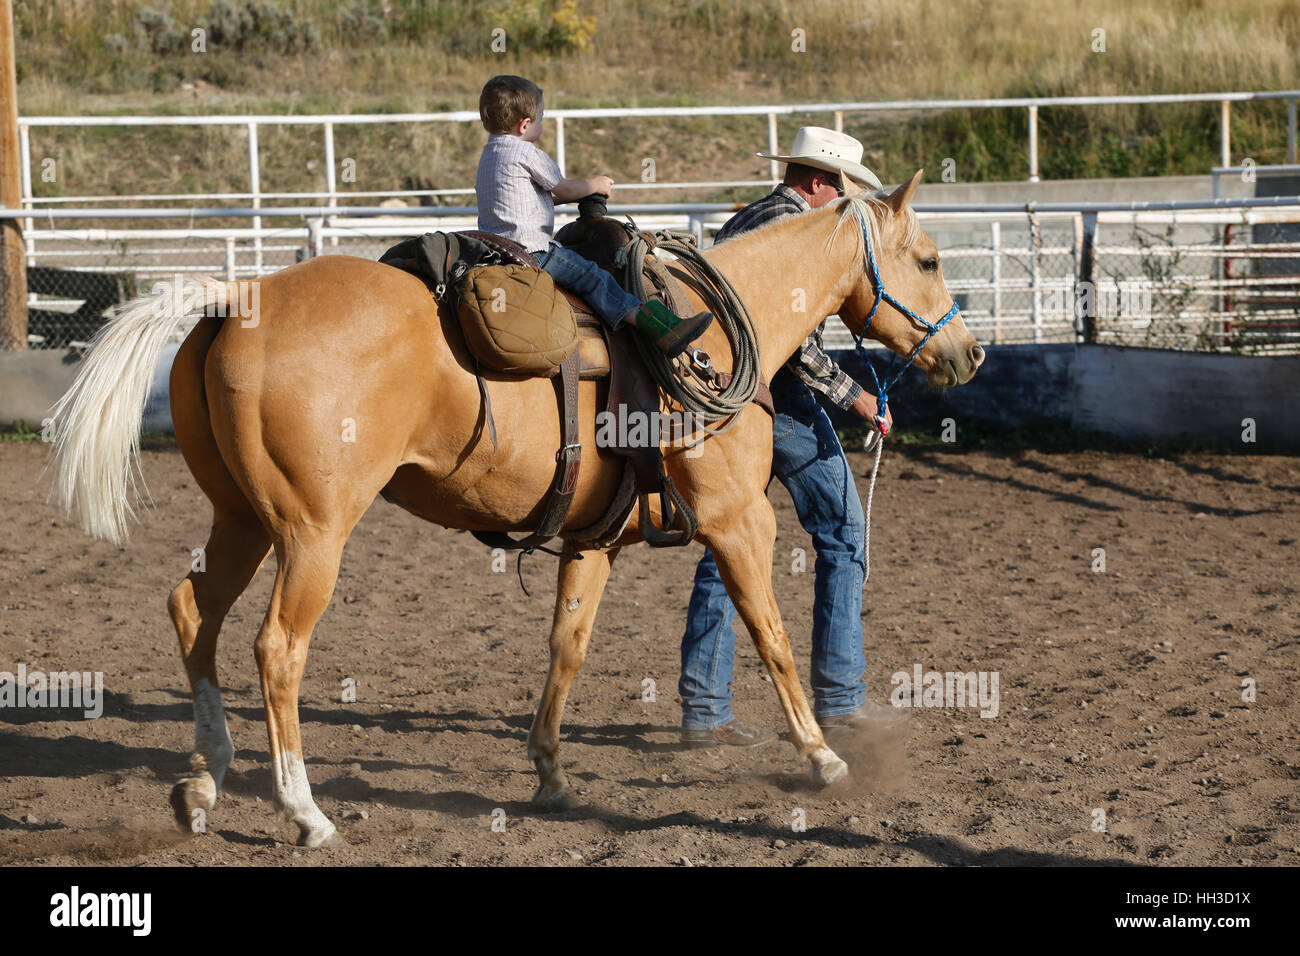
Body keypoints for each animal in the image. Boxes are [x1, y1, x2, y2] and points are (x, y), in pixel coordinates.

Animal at [47, 171, 984, 847]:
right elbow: (773, 637)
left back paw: (204, 780)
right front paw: (823, 757)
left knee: (192, 614)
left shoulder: (594, 541)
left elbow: (567, 646)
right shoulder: (738, 521)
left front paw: (551, 774)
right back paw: (304, 812)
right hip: (312, 534)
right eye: (931, 259)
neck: (715, 328)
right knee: (277, 648)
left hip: (241, 519)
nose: (970, 355)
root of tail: (242, 298)